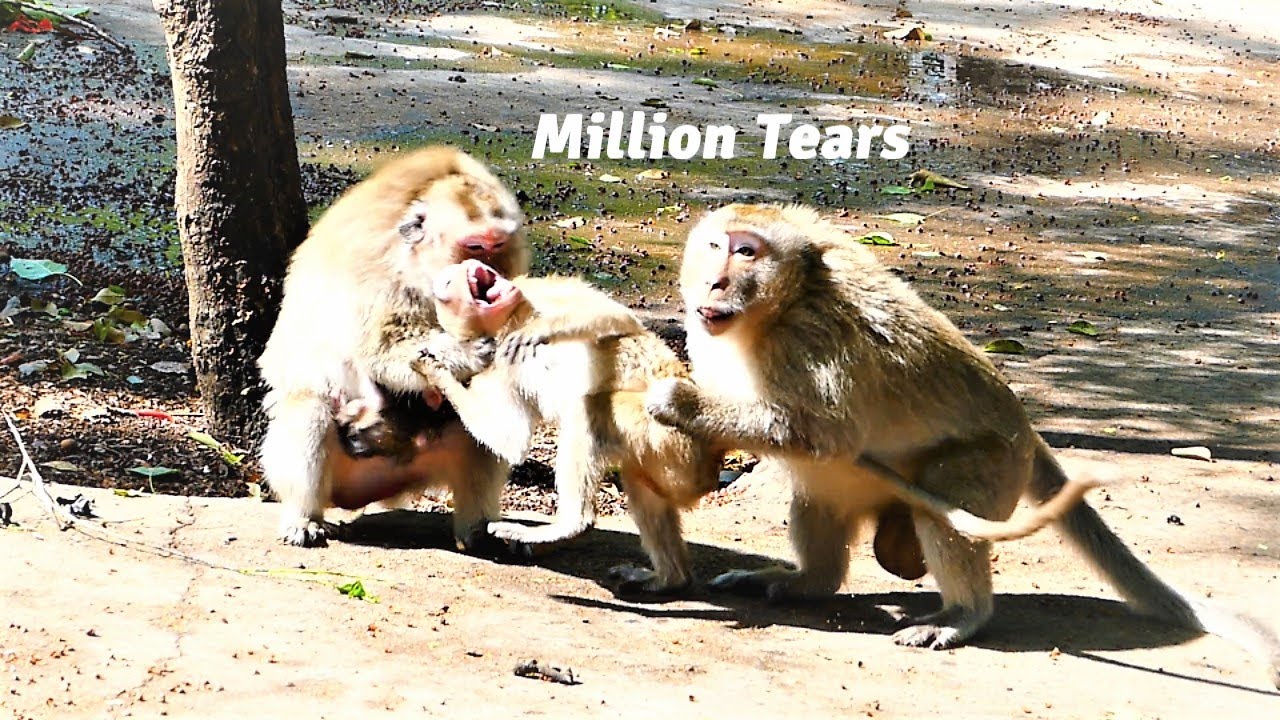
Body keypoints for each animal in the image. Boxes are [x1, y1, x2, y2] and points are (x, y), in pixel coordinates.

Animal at [257, 145, 528, 548]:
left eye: (496, 246)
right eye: (474, 246)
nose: (489, 272)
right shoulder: (377, 274)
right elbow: (382, 353)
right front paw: (465, 351)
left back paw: (479, 531)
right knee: (310, 406)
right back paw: (304, 517)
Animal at [385, 260, 1098, 593]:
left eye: (472, 271)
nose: (477, 268)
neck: (504, 322)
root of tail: (711, 457)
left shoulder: (543, 296)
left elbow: (609, 323)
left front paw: (438, 359)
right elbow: (504, 431)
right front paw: (433, 363)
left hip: (678, 444)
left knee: (598, 406)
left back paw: (572, 523)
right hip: (677, 461)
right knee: (636, 470)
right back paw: (668, 578)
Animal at [644, 203, 1280, 687]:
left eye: (746, 252)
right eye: (715, 245)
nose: (715, 281)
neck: (773, 311)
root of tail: (1026, 431)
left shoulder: (811, 339)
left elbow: (826, 433)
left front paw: (682, 405)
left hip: (993, 467)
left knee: (943, 511)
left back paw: (965, 616)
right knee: (821, 494)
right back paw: (809, 582)